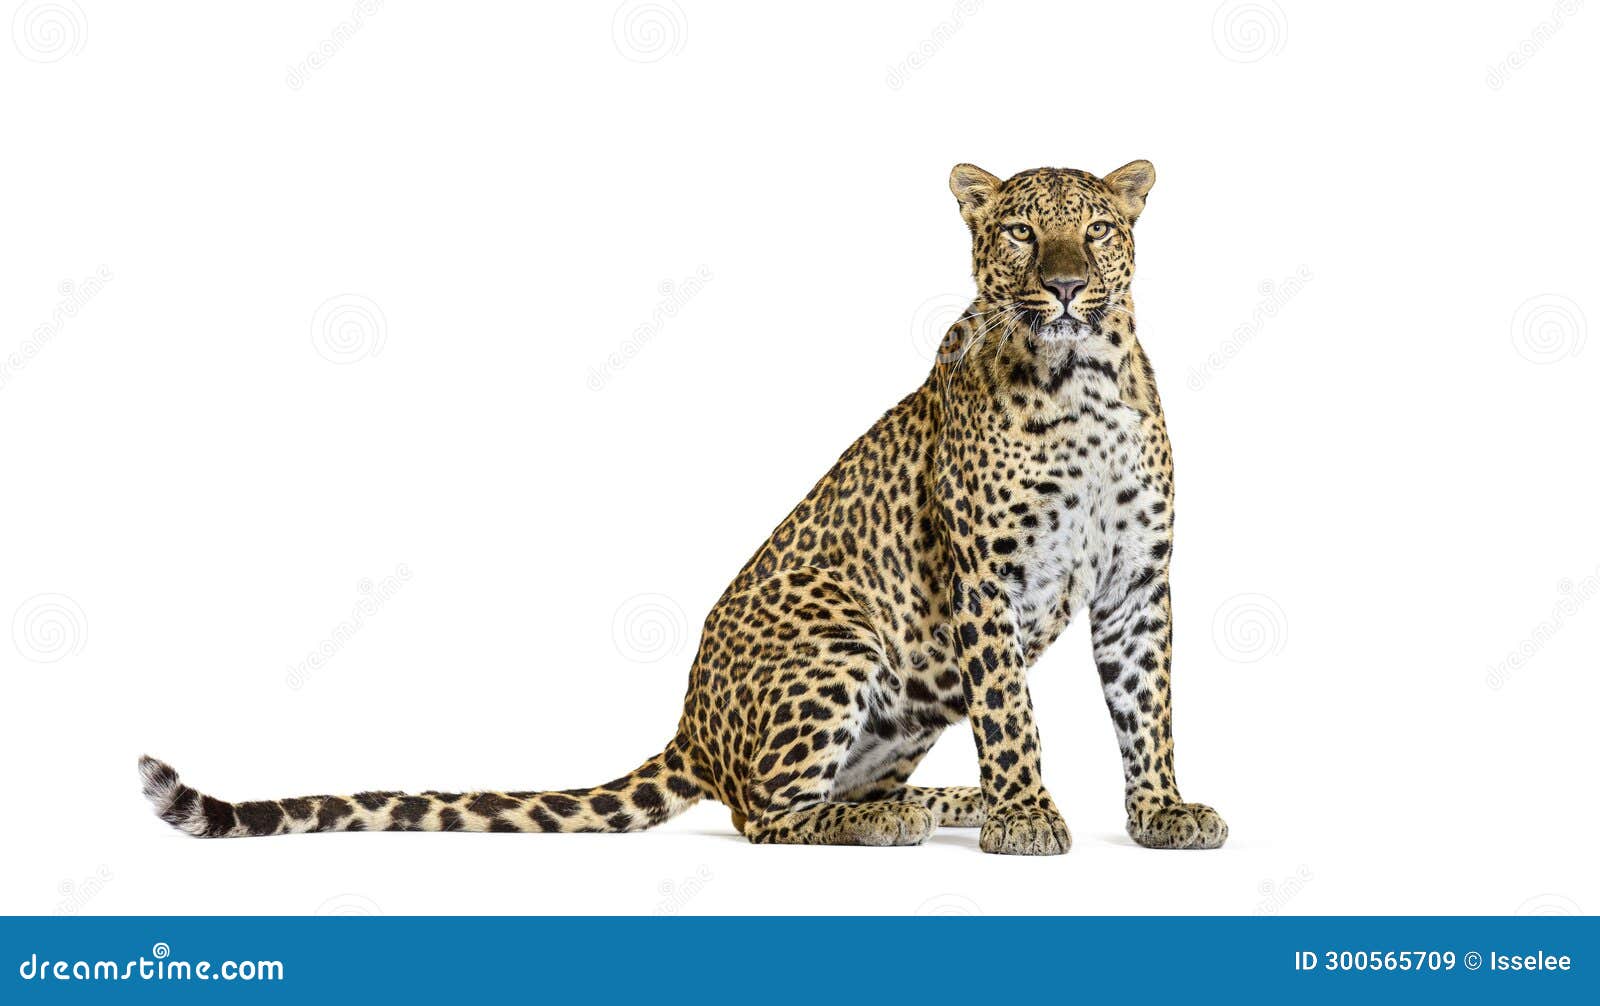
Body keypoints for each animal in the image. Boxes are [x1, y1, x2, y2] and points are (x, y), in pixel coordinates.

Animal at [140, 160, 1226, 855]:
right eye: (1019, 231)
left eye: (1097, 229)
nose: (1067, 284)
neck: (1082, 385)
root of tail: (691, 728)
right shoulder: (982, 578)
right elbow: (1011, 712)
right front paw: (1024, 818)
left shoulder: (1138, 581)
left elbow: (1149, 705)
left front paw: (1161, 813)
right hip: (835, 642)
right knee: (766, 817)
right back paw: (897, 820)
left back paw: (939, 799)